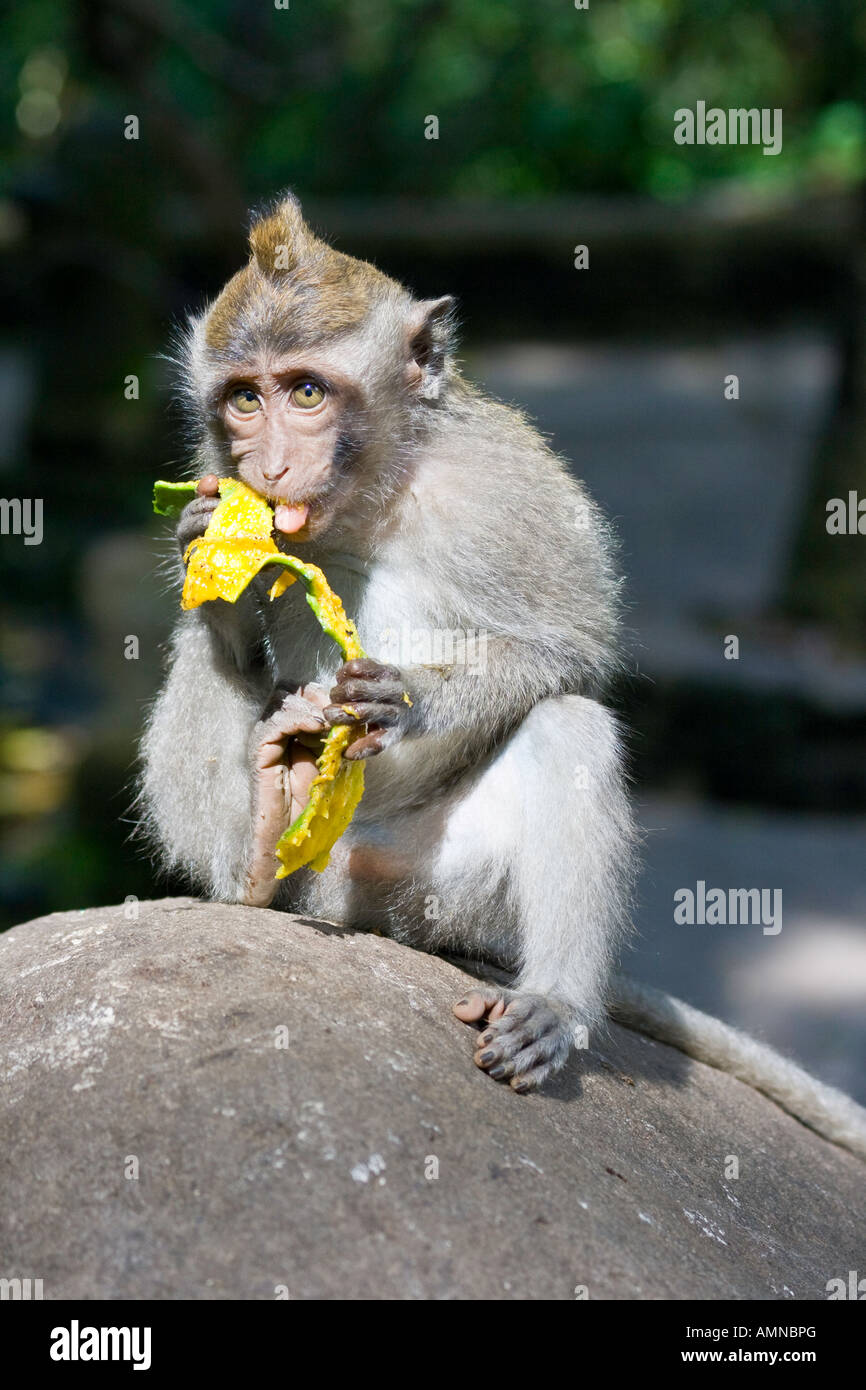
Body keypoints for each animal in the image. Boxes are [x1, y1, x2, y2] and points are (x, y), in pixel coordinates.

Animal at [141, 193, 866, 1155]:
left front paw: (409, 699)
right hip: (330, 883)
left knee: (568, 722)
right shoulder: (212, 475)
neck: (378, 495)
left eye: (306, 391)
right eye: (245, 399)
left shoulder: (510, 482)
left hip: (453, 893)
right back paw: (259, 845)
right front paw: (214, 562)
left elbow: (572, 647)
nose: (269, 468)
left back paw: (554, 999)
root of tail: (350, 902)